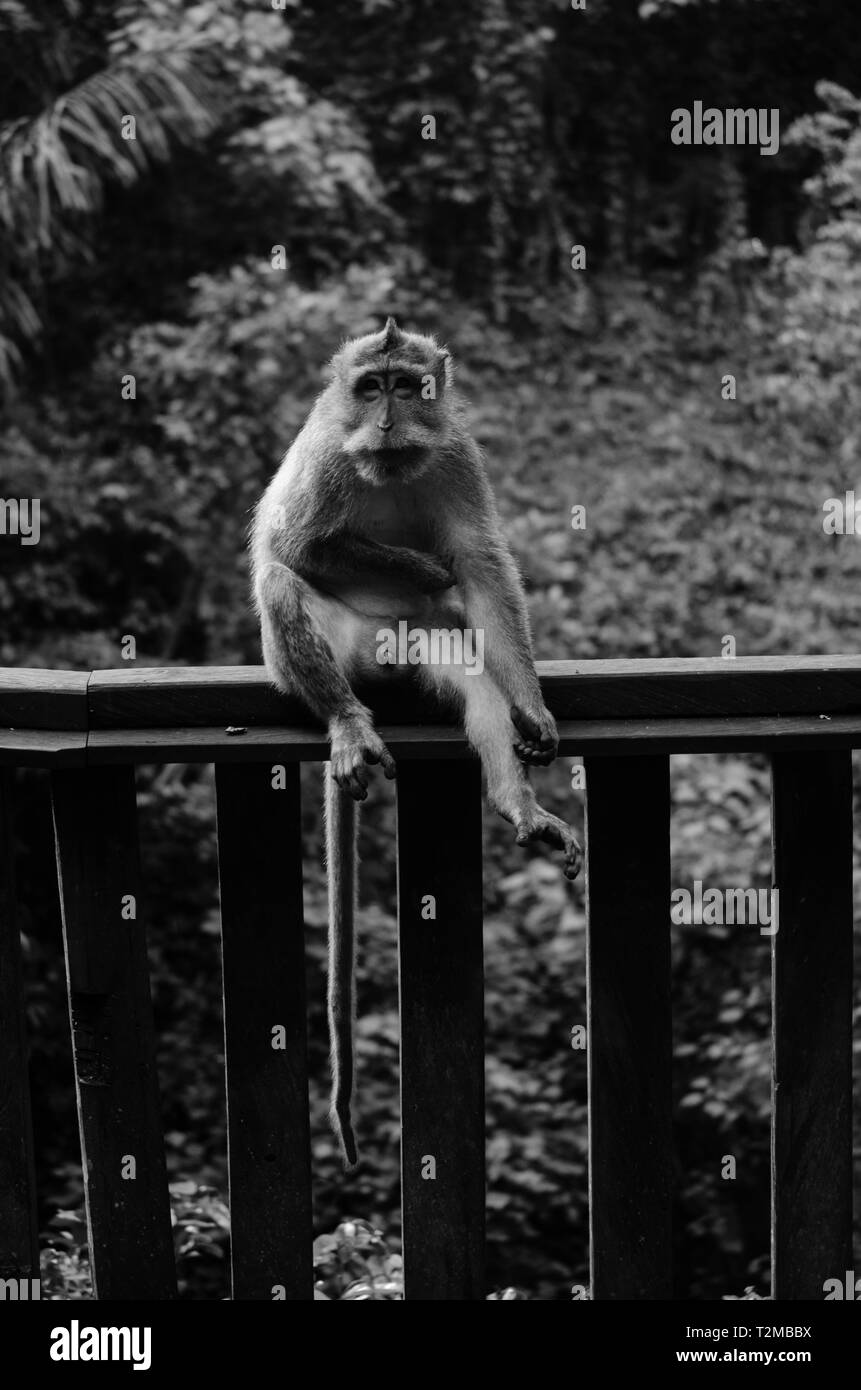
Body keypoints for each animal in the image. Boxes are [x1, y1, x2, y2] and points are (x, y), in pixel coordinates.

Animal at [250, 317, 581, 1167]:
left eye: (407, 386)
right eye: (371, 388)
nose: (389, 420)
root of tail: (368, 661)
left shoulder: (458, 451)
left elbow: (481, 567)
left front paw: (530, 706)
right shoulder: (327, 455)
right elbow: (298, 546)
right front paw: (412, 563)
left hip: (412, 646)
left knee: (465, 664)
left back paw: (515, 801)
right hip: (314, 653)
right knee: (281, 581)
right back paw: (347, 722)